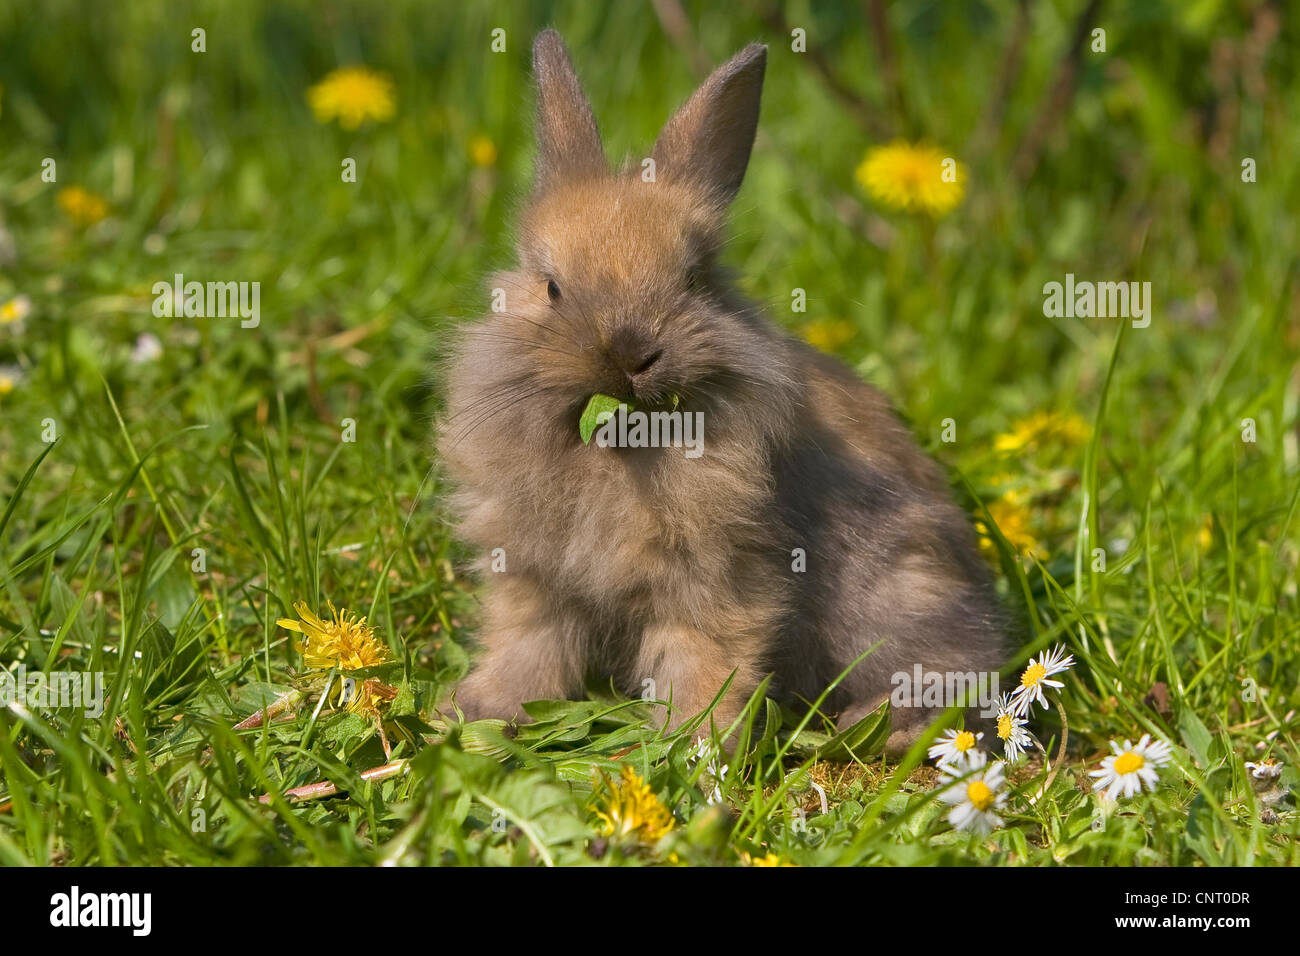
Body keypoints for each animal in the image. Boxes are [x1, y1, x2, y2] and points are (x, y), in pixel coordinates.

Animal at [438, 29, 1007, 753]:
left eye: (694, 279)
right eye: (552, 287)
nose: (632, 354)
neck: (620, 444)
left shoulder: (720, 577)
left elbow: (706, 658)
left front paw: (696, 745)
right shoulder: (533, 578)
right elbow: (527, 646)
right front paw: (478, 709)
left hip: (903, 598)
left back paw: (882, 729)